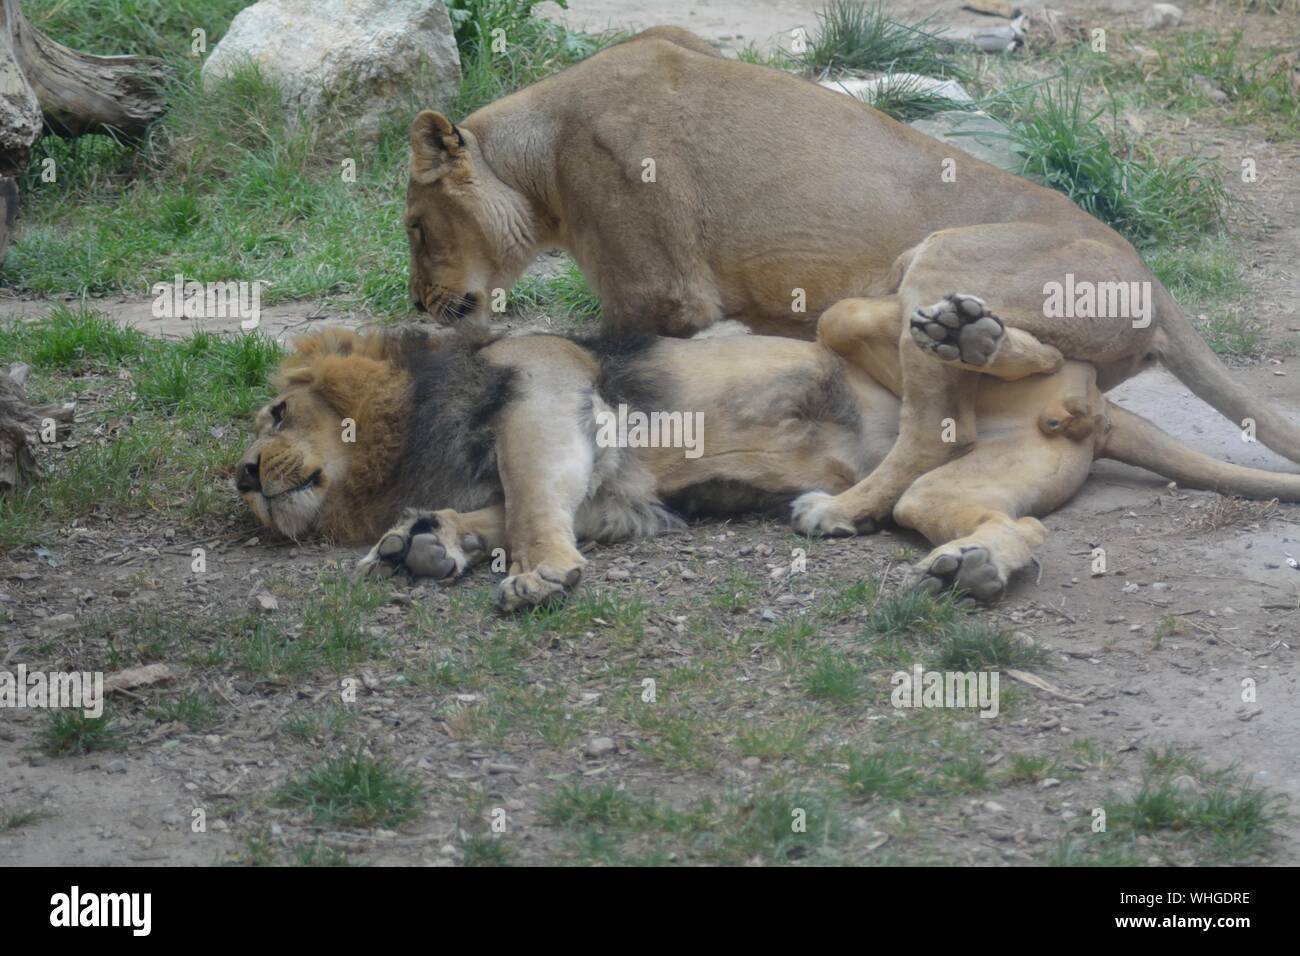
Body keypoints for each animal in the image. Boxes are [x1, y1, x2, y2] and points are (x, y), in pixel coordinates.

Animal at [235, 313, 1300, 612]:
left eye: (276, 411)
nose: (241, 480)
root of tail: (1098, 416)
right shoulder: (614, 496)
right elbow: (513, 512)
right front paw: (427, 540)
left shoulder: (546, 395)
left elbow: (536, 508)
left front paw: (535, 574)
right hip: (957, 484)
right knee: (1005, 512)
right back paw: (969, 558)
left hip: (854, 324)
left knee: (1010, 364)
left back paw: (970, 333)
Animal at [400, 25, 1300, 539]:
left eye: (414, 228)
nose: (417, 304)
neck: (539, 159)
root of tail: (1150, 275)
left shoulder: (658, 290)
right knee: (1034, 370)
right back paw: (976, 337)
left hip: (941, 256)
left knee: (942, 425)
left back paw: (844, 502)